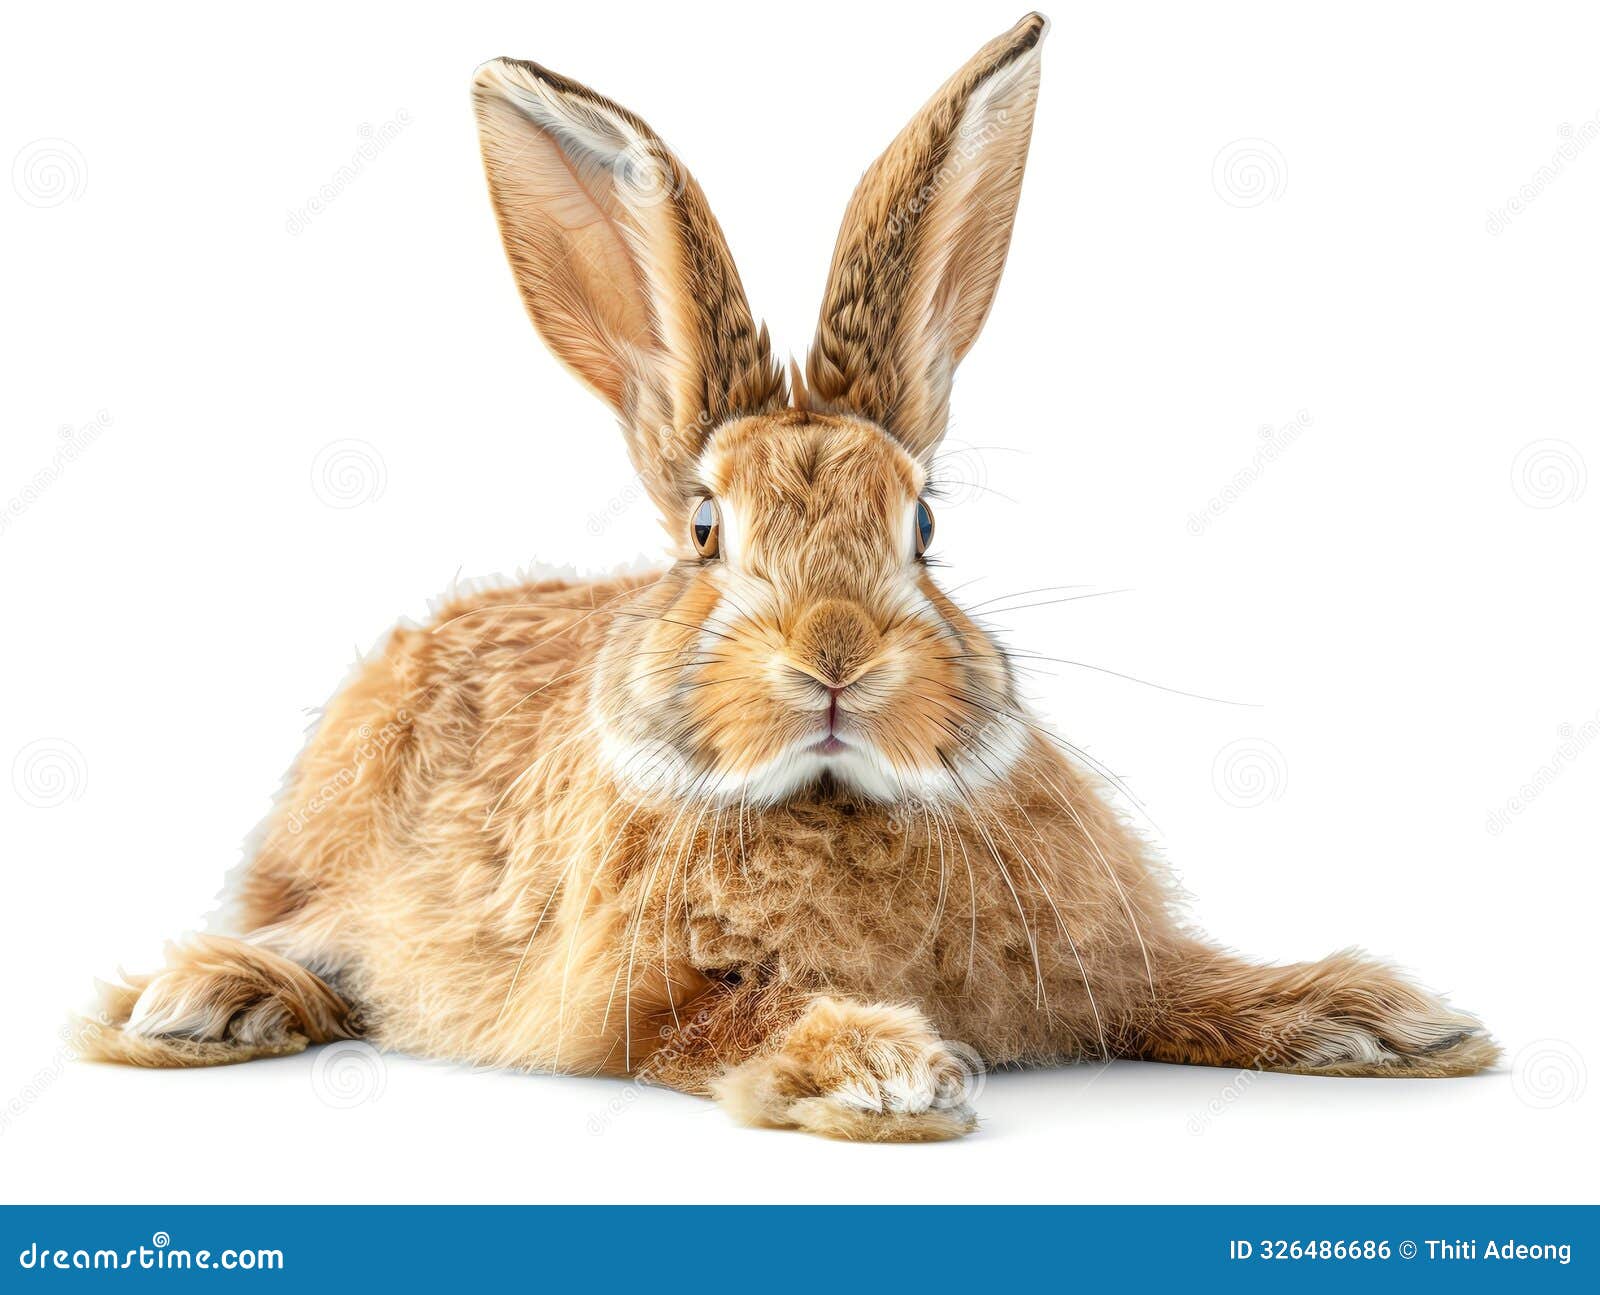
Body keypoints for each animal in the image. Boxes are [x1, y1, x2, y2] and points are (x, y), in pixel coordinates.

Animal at [80, 12, 1495, 1141]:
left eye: (923, 524)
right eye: (708, 528)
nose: (834, 655)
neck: (829, 798)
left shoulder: (1108, 958)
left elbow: (1185, 986)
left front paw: (1385, 1023)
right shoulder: (642, 997)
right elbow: (736, 1018)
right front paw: (881, 1069)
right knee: (309, 933)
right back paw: (199, 1001)